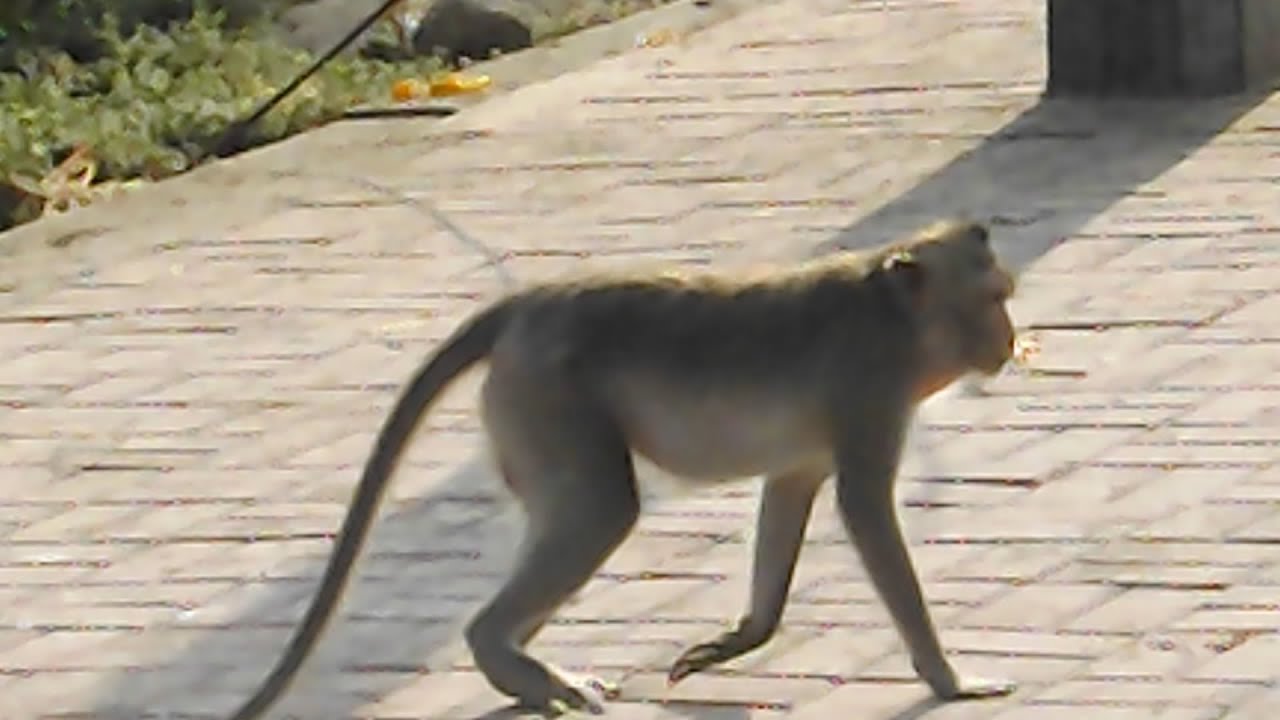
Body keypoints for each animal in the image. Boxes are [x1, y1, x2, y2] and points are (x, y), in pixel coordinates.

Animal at [224, 218, 1019, 719]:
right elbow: (864, 506)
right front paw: (948, 678)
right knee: (602, 509)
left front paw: (742, 636)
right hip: (548, 398)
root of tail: (525, 309)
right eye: (989, 301)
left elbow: (789, 490)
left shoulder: (823, 437)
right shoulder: (870, 386)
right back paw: (506, 655)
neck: (896, 312)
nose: (1010, 340)